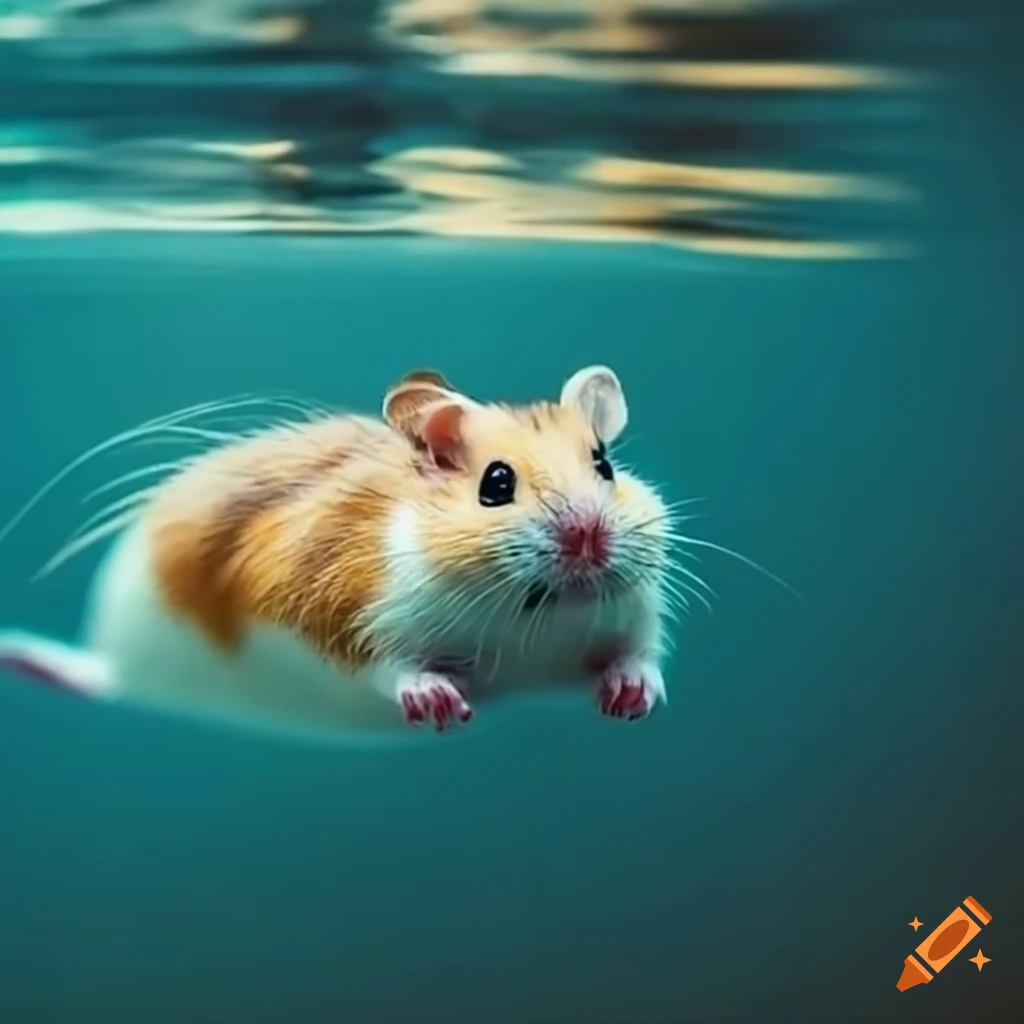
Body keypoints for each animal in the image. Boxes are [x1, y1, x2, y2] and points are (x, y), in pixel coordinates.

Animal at [0, 365, 678, 744]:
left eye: (604, 465)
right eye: (497, 483)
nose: (590, 536)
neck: (531, 616)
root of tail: (115, 665)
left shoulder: (632, 614)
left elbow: (638, 654)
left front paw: (630, 697)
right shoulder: (342, 614)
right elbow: (390, 665)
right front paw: (438, 703)